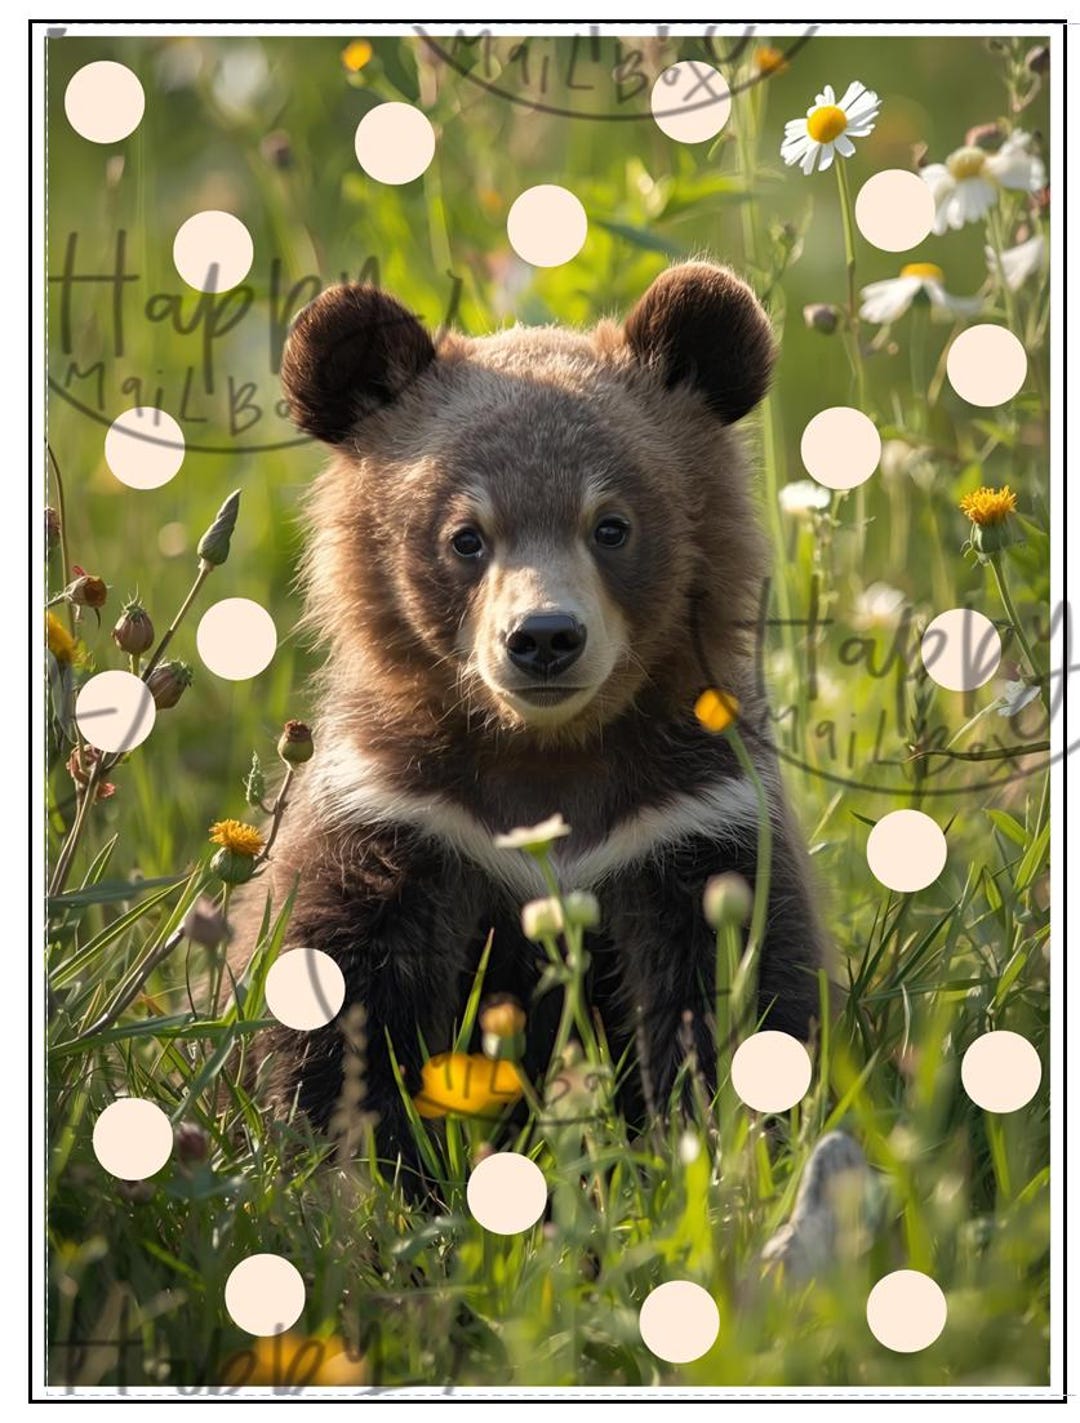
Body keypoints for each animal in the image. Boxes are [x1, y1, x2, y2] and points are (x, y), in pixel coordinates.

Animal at [237, 261, 827, 1186]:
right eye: (465, 534)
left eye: (611, 523)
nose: (544, 637)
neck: (544, 752)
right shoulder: (402, 816)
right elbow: (341, 1000)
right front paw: (367, 1171)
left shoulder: (689, 817)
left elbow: (733, 986)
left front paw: (717, 1149)